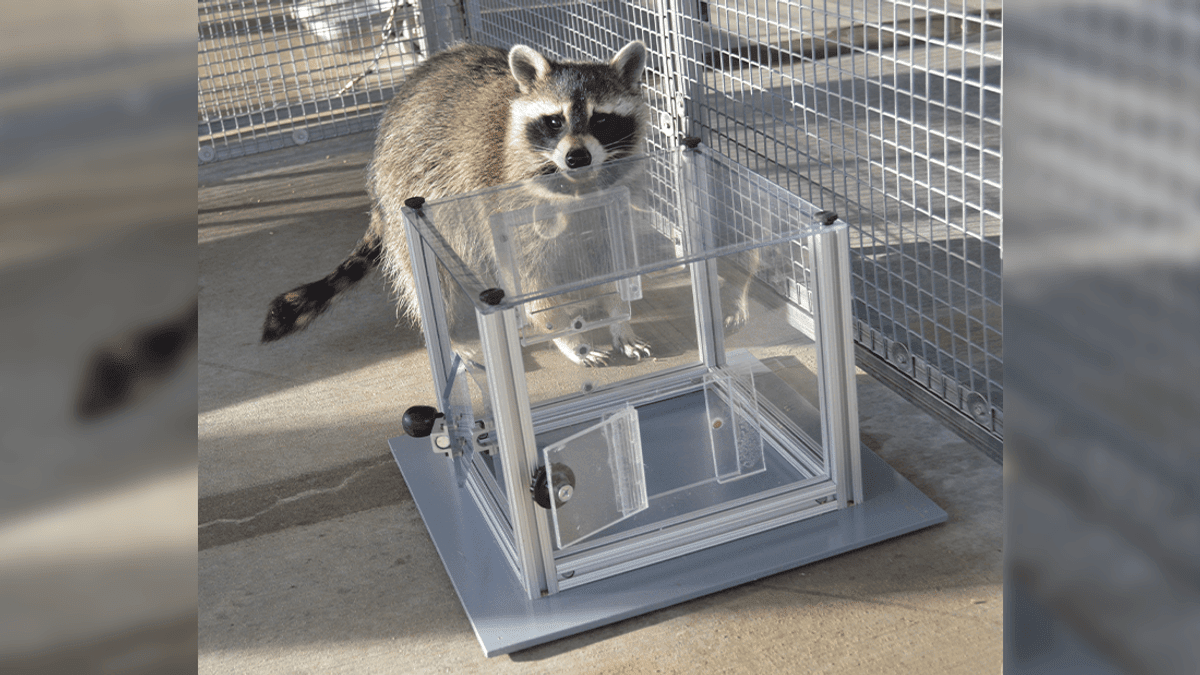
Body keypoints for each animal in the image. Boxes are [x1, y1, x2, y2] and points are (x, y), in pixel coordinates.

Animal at [262, 41, 652, 366]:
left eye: (601, 119)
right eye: (555, 121)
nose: (577, 157)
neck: (576, 187)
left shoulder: (613, 205)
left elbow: (613, 261)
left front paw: (620, 317)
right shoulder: (505, 203)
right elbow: (532, 282)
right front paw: (569, 335)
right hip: (405, 194)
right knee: (429, 281)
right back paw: (450, 336)